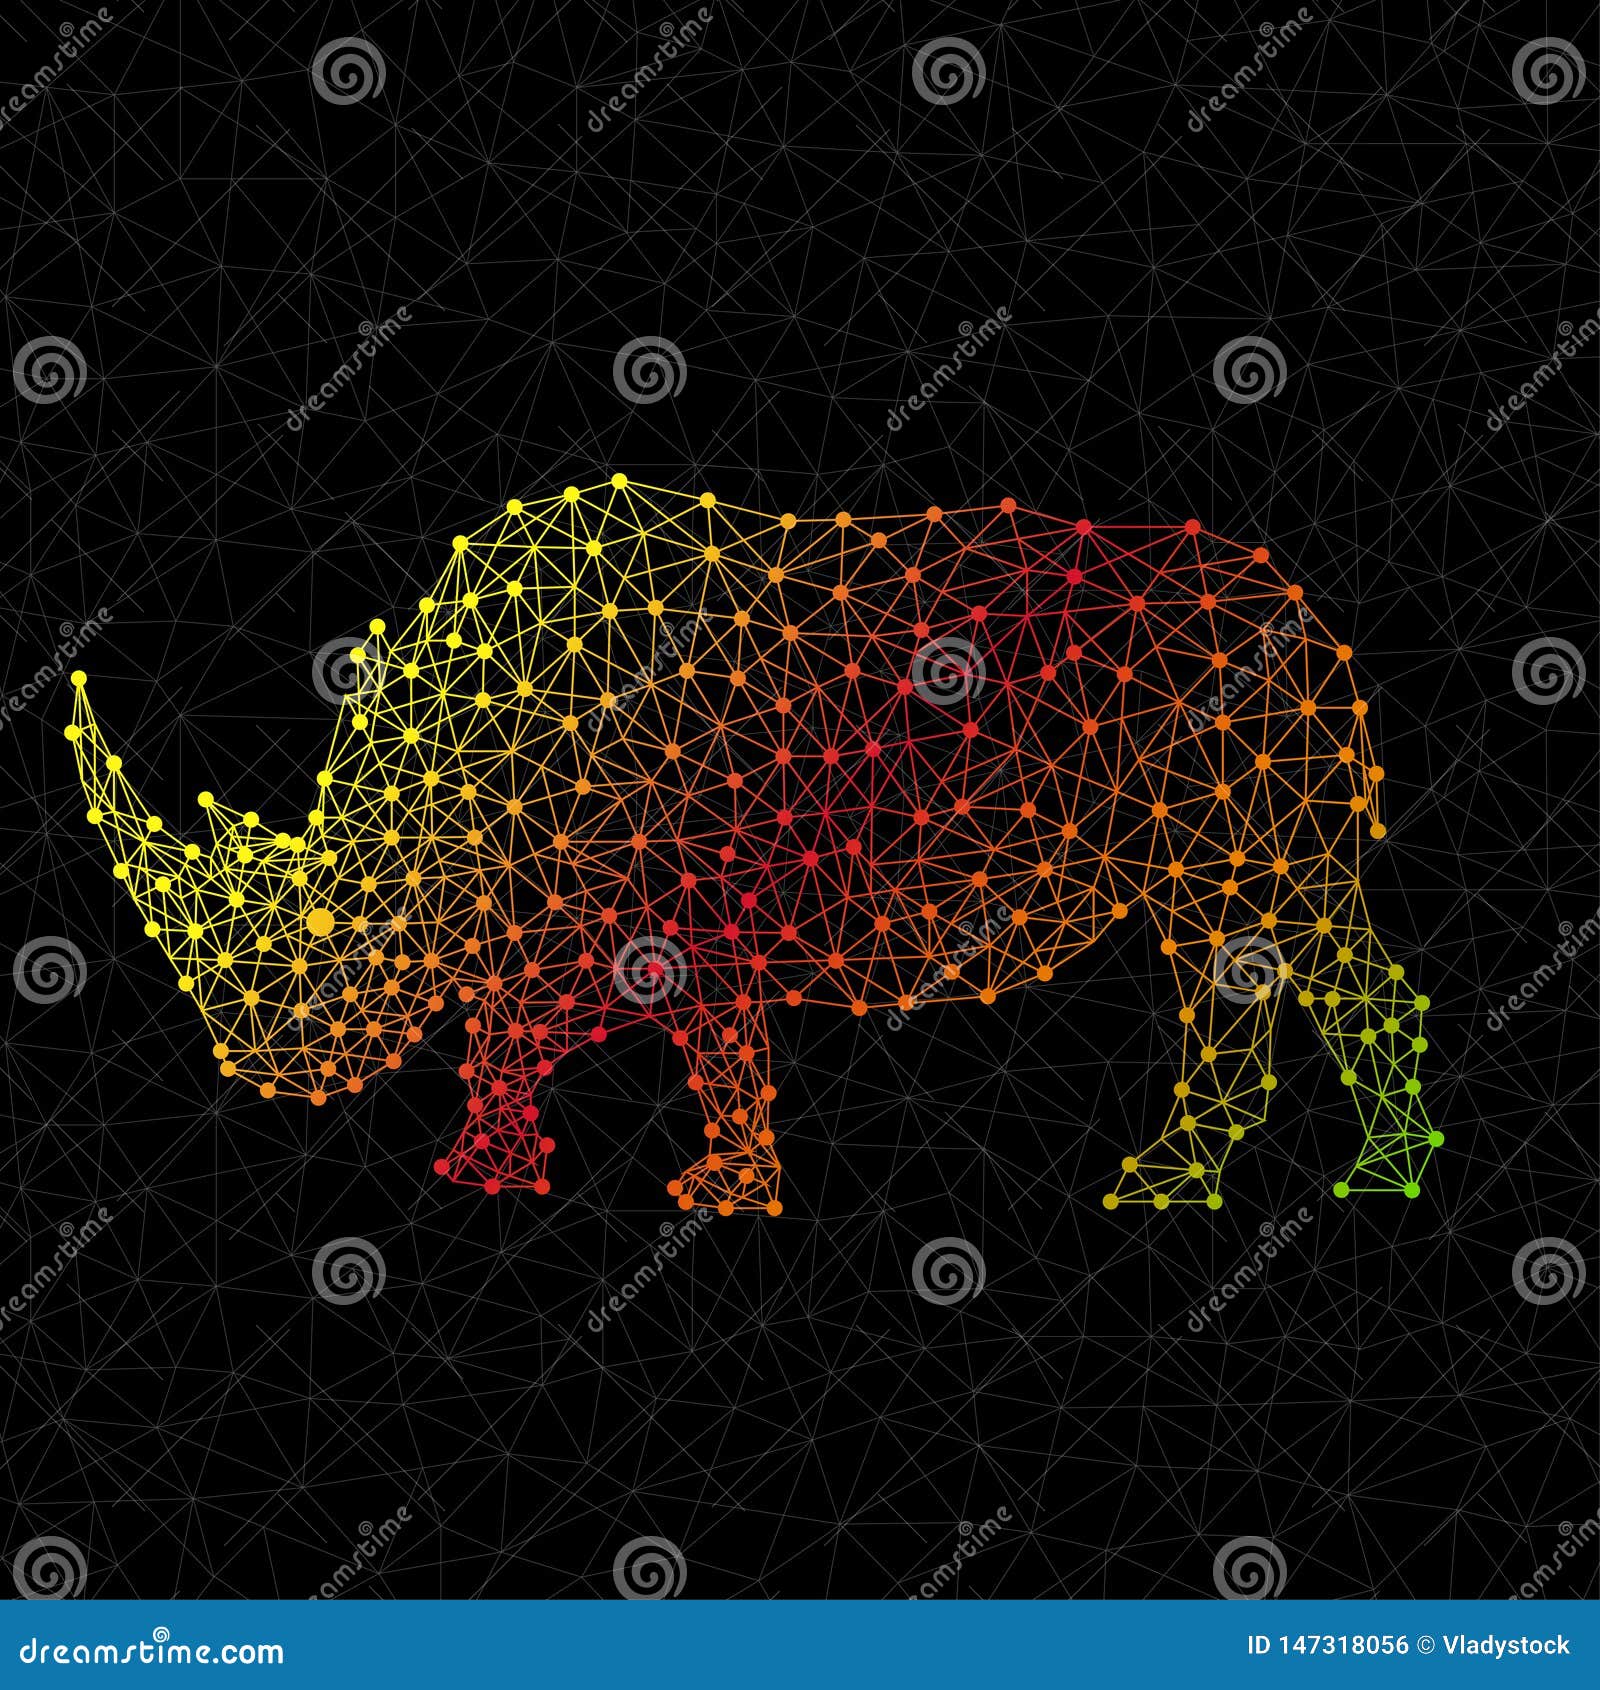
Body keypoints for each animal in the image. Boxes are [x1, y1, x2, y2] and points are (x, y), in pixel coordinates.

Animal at [67, 479, 1440, 1215]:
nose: (265, 1070)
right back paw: (1313, 1173)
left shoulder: (666, 896)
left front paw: (689, 1195)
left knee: (1255, 922)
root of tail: (1306, 617)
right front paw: (496, 1171)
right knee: (1262, 937)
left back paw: (1229, 1180)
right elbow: (550, 1026)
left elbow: (654, 1038)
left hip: (1229, 732)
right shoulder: (602, 908)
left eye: (325, 959)